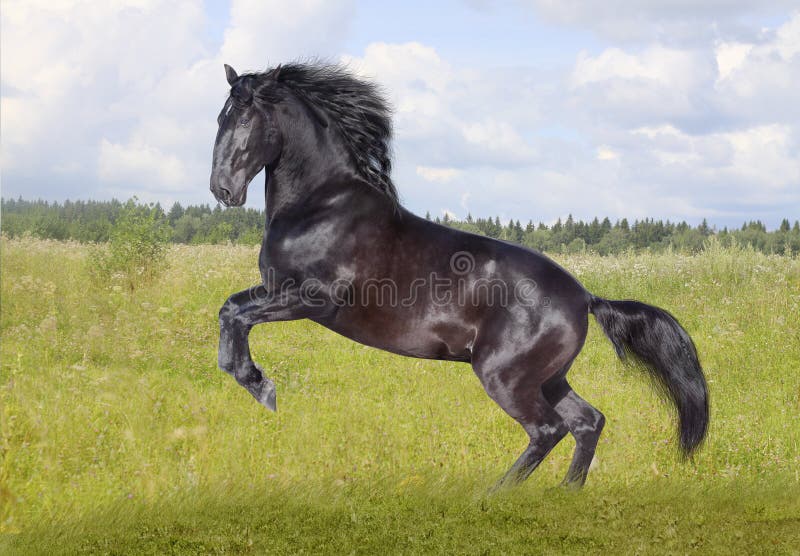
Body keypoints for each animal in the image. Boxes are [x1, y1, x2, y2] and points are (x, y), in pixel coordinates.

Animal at [209, 62, 709, 489]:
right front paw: (252, 380)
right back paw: (566, 493)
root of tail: (585, 297)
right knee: (587, 421)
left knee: (548, 429)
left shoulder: (311, 297)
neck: (321, 206)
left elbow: (236, 313)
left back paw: (493, 495)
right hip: (547, 377)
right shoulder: (279, 291)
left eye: (246, 120)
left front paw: (261, 387)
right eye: (221, 117)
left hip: (505, 375)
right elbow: (230, 309)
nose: (222, 190)